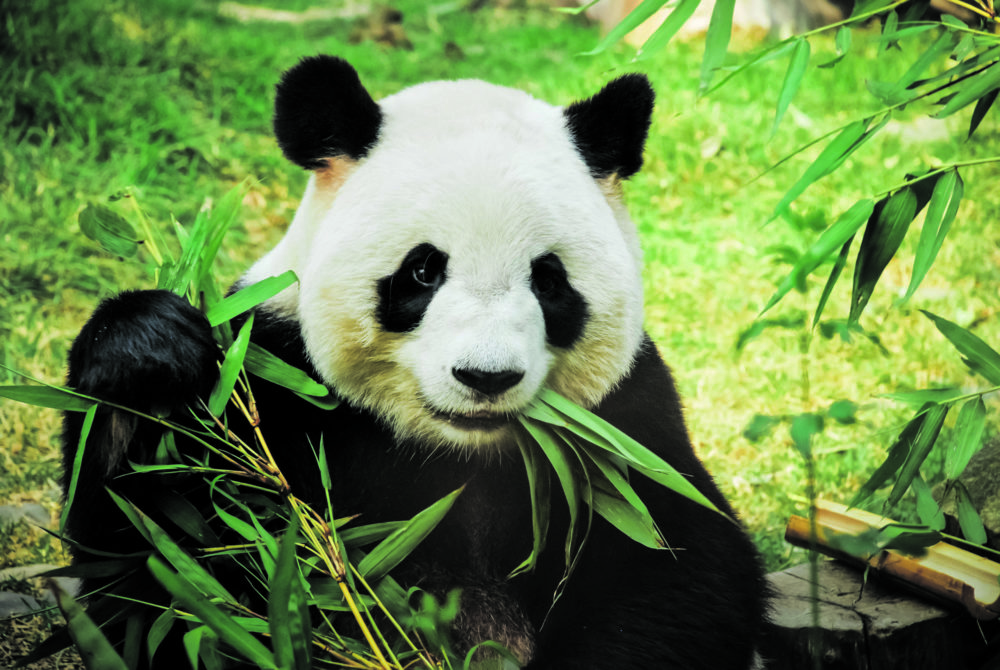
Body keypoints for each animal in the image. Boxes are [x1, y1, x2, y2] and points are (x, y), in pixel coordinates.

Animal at [62, 55, 767, 669]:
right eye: (423, 271)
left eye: (548, 280)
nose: (486, 378)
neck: (458, 451)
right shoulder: (274, 377)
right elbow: (165, 567)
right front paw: (147, 353)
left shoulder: (622, 418)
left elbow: (677, 561)